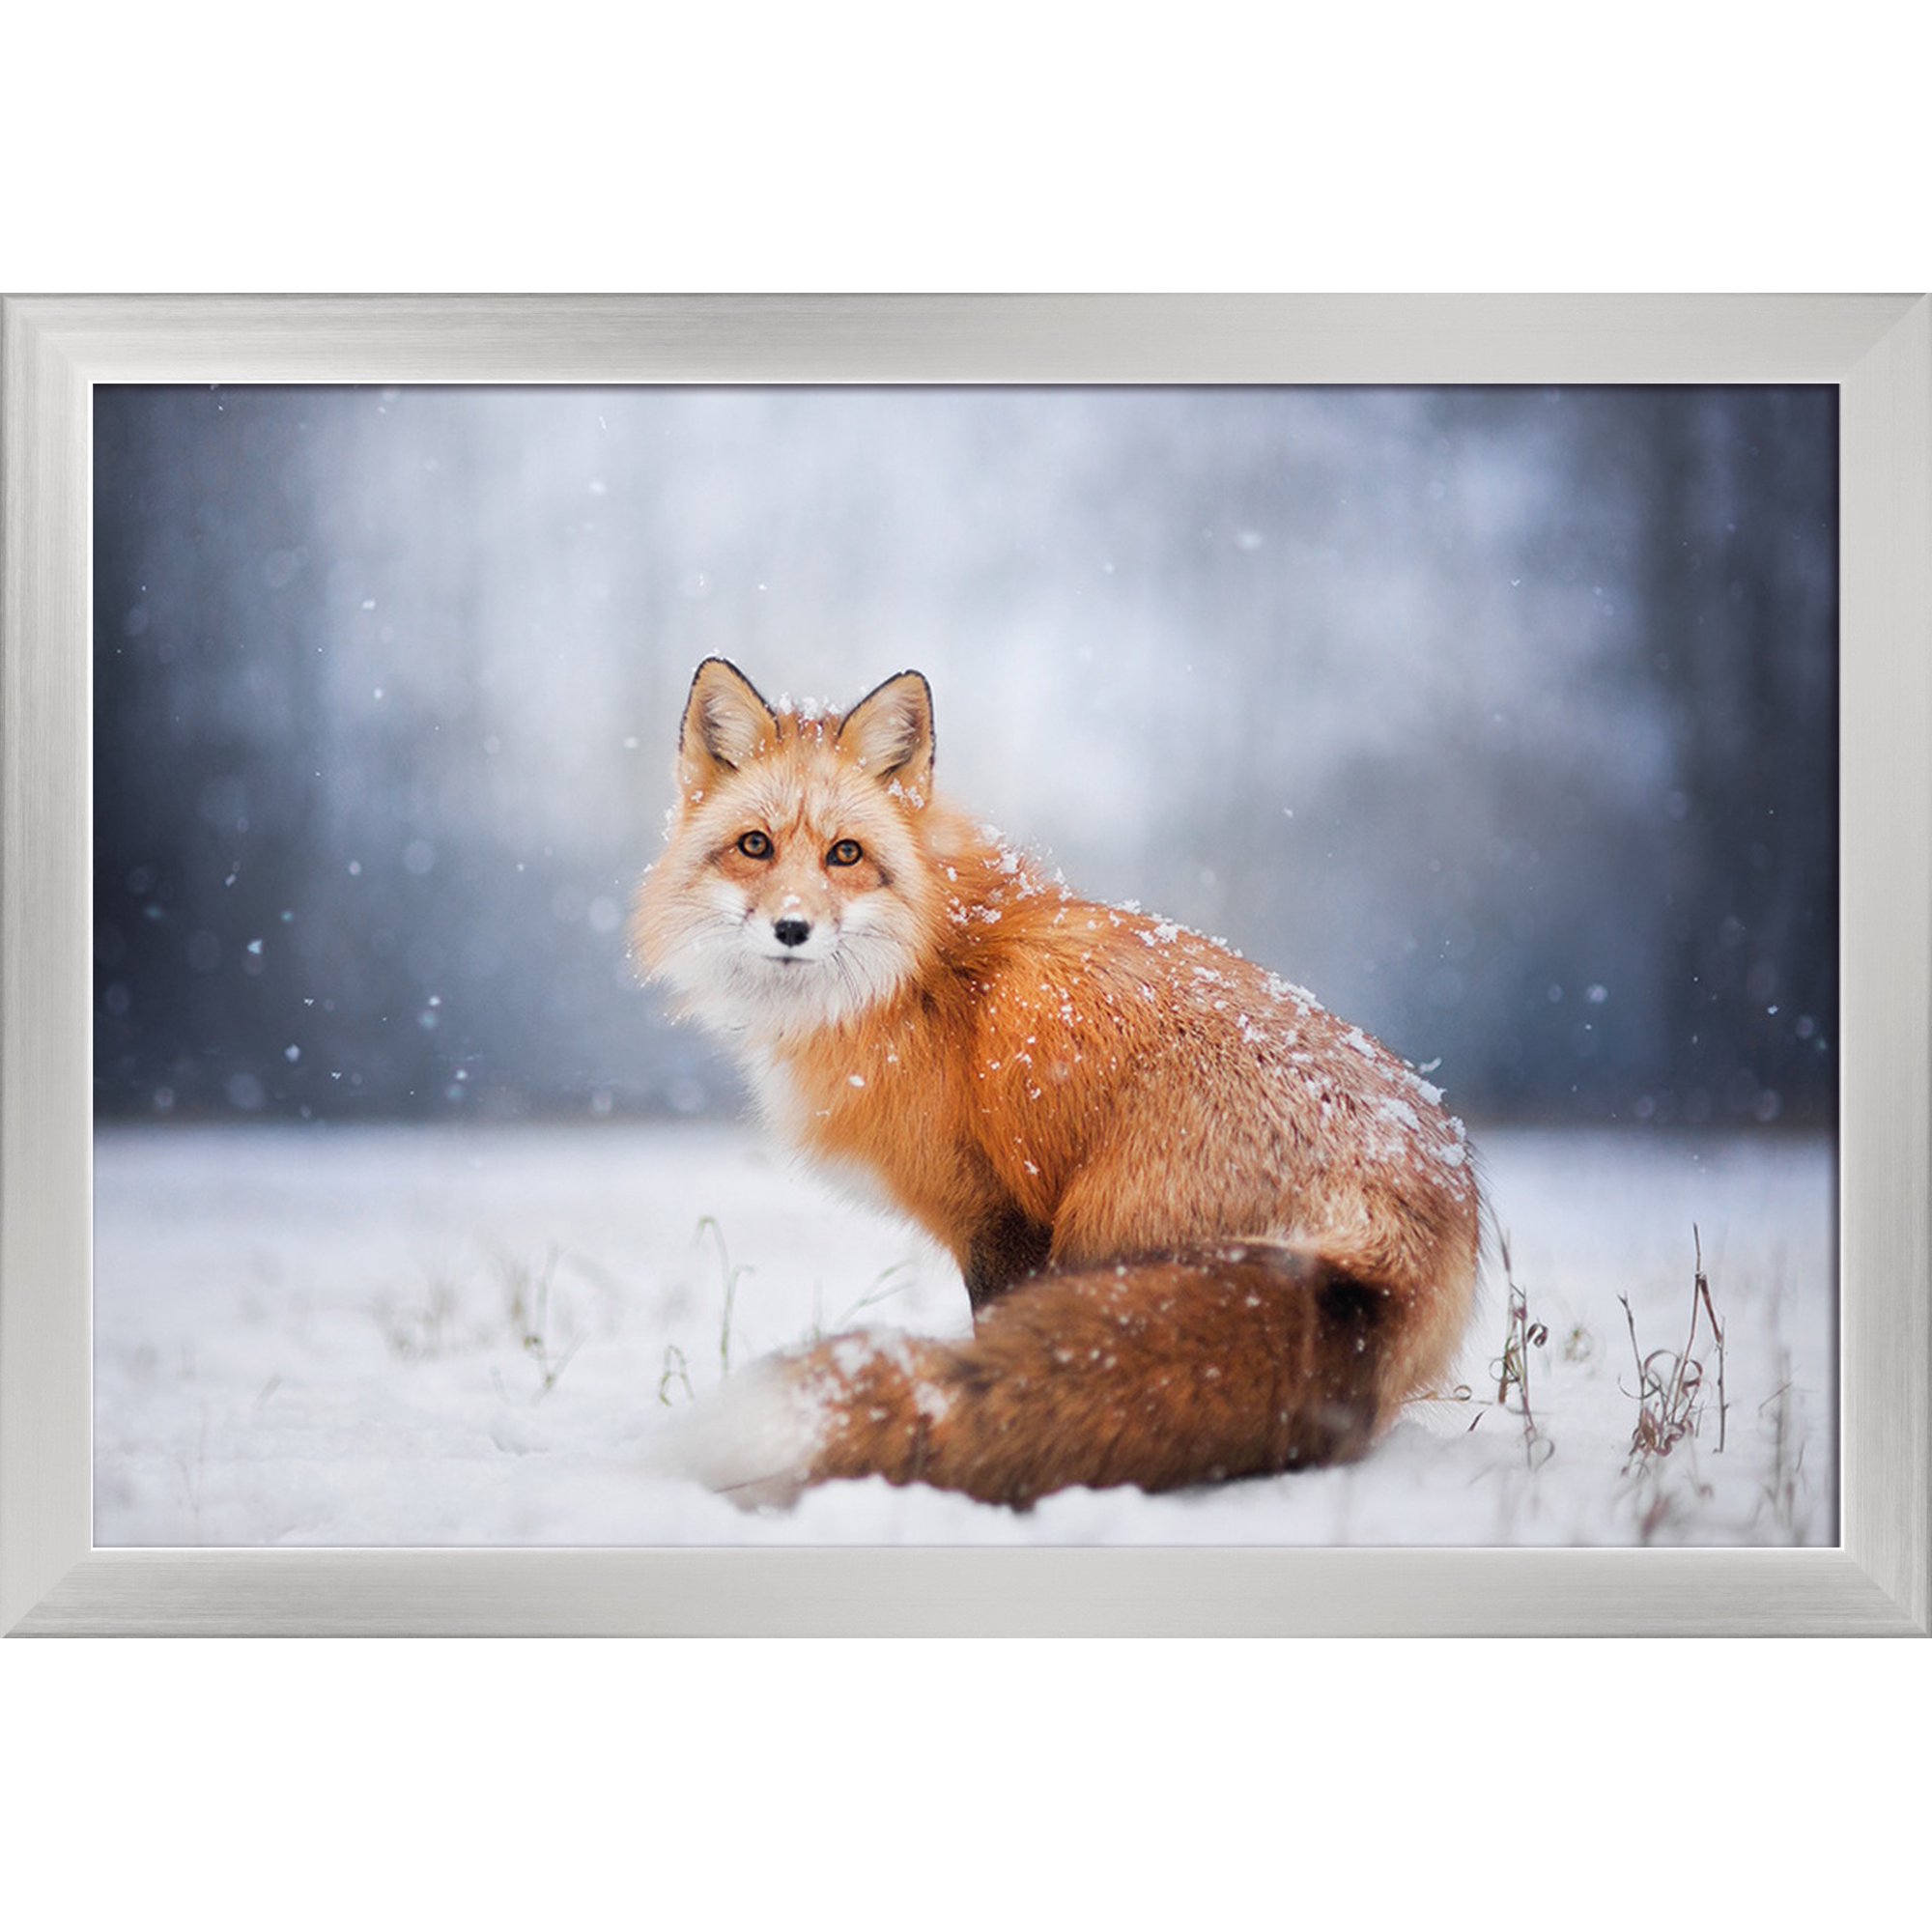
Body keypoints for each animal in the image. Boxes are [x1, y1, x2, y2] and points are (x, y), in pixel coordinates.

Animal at [632, 657, 1481, 1508]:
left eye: (845, 854)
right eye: (755, 845)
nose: (793, 928)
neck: (926, 969)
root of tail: (1396, 1237)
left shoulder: (998, 1216)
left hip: (1101, 1236)